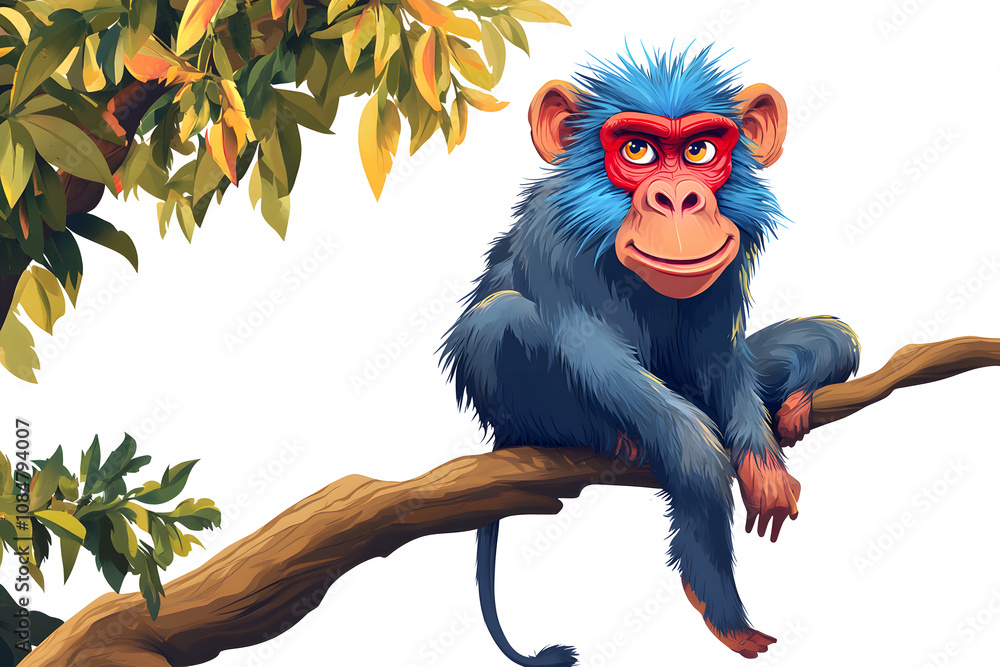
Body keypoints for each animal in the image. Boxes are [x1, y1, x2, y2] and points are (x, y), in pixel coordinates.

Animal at [439, 47, 860, 664]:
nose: (678, 197)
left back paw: (797, 400)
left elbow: (723, 355)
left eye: (699, 150)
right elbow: (593, 352)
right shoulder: (554, 236)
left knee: (834, 338)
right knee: (502, 318)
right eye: (636, 150)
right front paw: (704, 485)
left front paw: (761, 464)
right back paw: (605, 437)